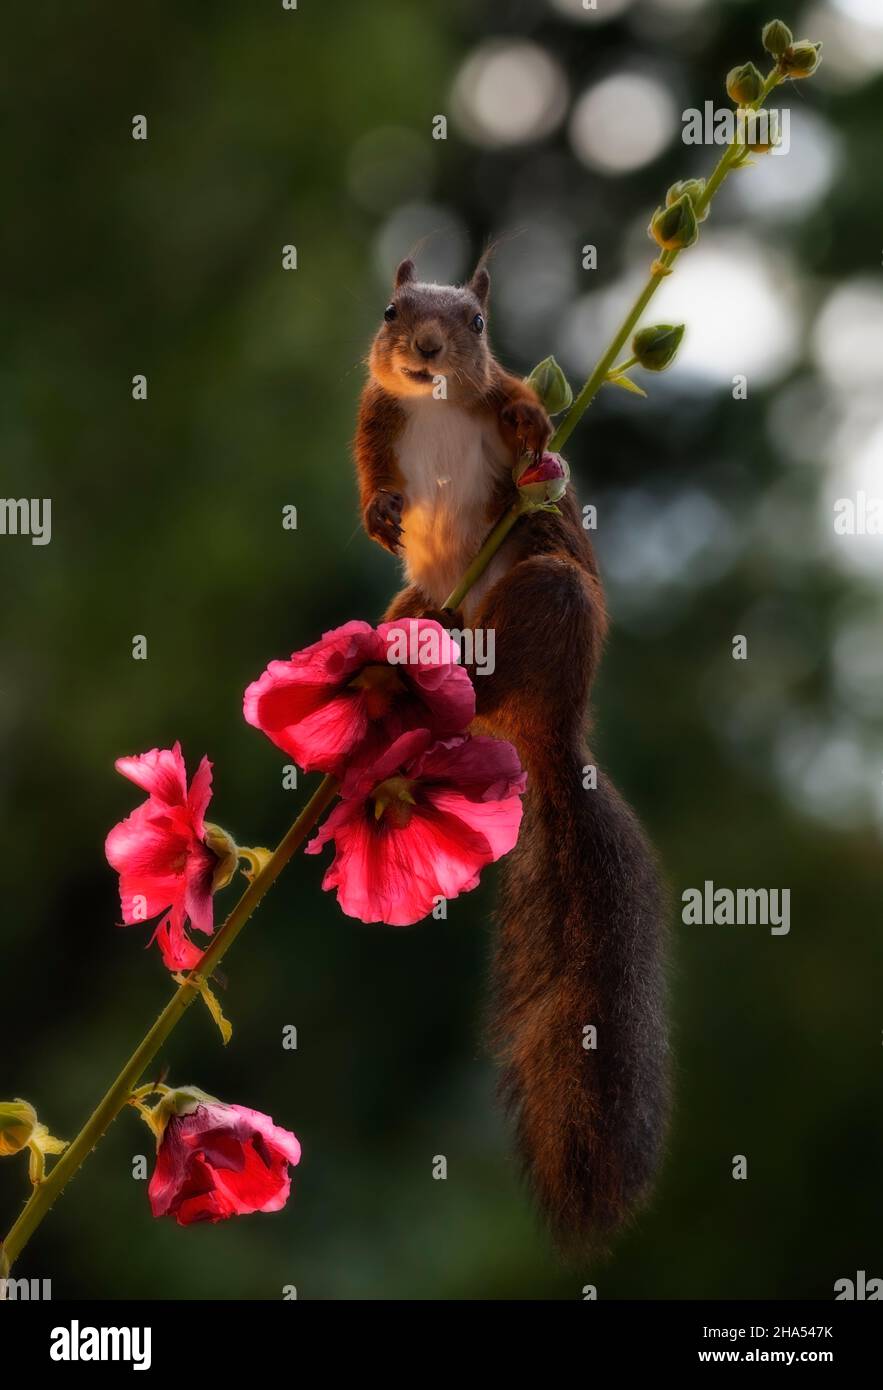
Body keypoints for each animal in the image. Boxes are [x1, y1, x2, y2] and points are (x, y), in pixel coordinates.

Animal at [354, 255, 669, 1250]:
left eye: (479, 324)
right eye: (391, 310)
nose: (424, 347)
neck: (439, 405)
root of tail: (551, 727)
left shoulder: (503, 398)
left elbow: (527, 419)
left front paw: (544, 445)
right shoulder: (376, 418)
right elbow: (369, 468)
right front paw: (381, 508)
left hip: (545, 592)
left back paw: (448, 669)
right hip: (422, 594)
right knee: (416, 609)